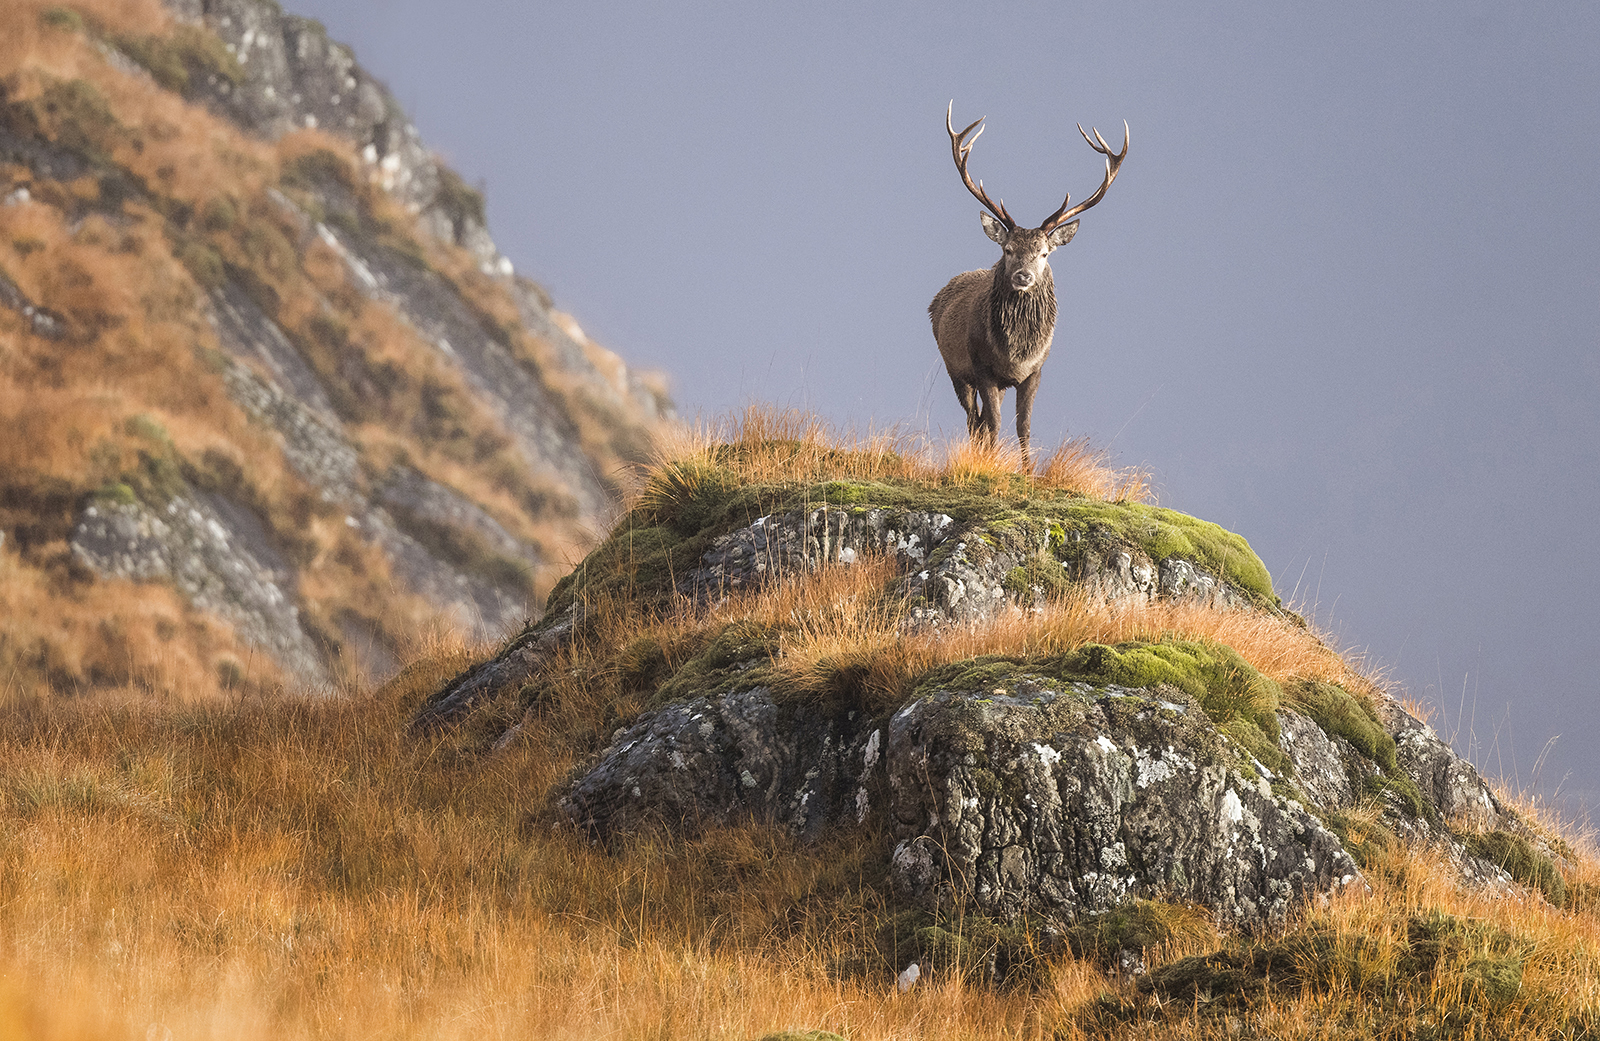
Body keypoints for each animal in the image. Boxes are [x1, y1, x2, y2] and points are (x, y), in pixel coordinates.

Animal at [929, 103, 1128, 468]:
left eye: (1044, 253)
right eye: (1007, 250)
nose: (1023, 276)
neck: (1015, 355)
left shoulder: (1035, 372)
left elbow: (1024, 425)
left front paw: (1028, 471)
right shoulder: (982, 368)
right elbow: (993, 423)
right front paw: (991, 466)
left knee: (980, 420)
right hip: (954, 368)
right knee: (974, 420)